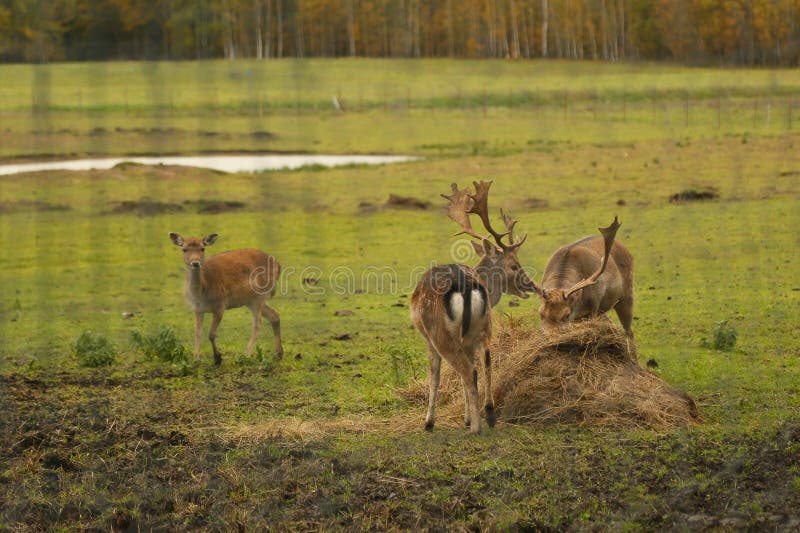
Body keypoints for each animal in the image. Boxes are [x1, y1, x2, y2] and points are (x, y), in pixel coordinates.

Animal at [168, 232, 283, 365]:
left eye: (202, 248)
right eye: (184, 249)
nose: (195, 263)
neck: (202, 293)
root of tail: (278, 266)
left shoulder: (220, 305)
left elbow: (211, 334)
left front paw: (218, 358)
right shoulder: (196, 308)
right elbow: (197, 332)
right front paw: (195, 359)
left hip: (258, 296)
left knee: (258, 323)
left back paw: (246, 355)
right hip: (250, 300)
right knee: (274, 315)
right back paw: (279, 354)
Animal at [410, 181, 537, 434]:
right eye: (514, 265)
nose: (531, 284)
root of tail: (467, 285)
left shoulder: (428, 339)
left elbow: (435, 375)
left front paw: (429, 422)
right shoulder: (467, 338)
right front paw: (467, 417)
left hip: (440, 333)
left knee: (469, 370)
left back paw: (476, 427)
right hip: (483, 326)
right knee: (485, 362)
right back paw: (489, 414)